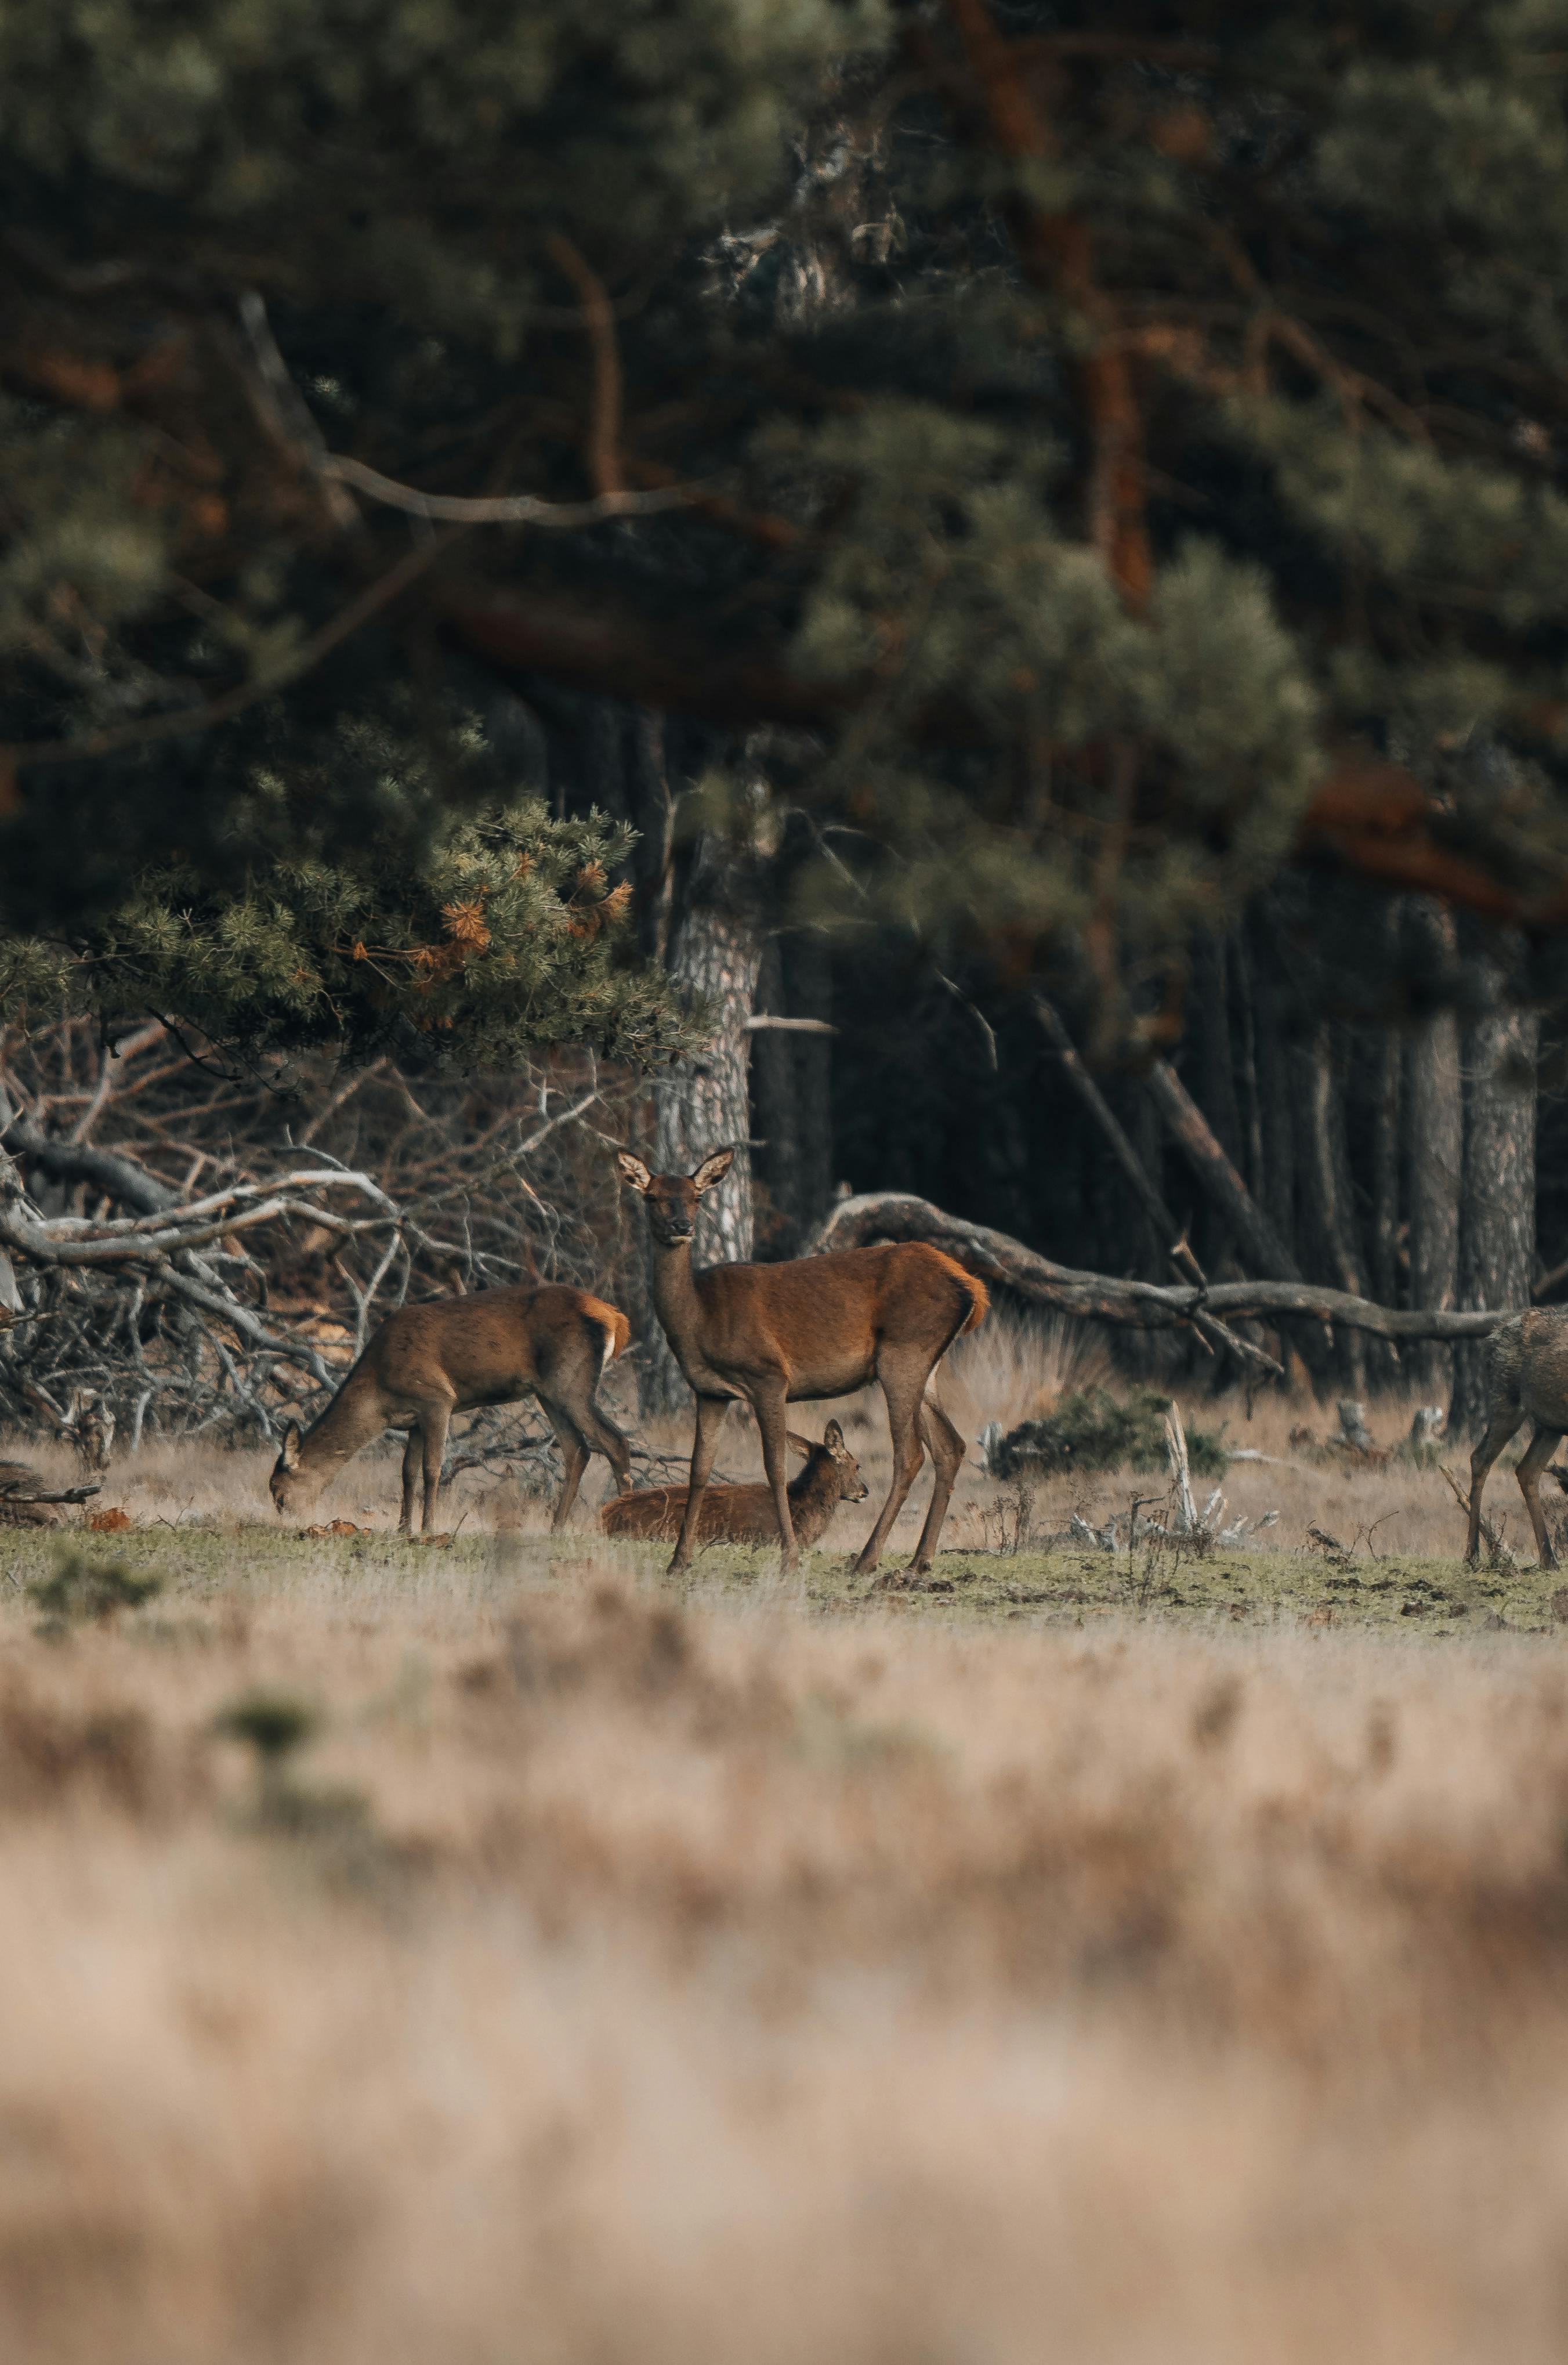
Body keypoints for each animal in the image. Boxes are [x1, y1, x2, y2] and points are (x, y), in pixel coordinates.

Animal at [270, 1283, 633, 1535]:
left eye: (279, 1493)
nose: (287, 1524)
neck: (379, 1394)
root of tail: (616, 1318)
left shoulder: (437, 1399)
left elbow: (432, 1468)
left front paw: (427, 1527)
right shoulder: (413, 1420)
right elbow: (407, 1472)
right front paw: (403, 1527)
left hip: (571, 1382)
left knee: (614, 1440)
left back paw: (625, 1524)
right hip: (549, 1392)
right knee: (578, 1449)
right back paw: (556, 1528)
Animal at [1465, 1306, 1568, 1568]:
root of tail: (1491, 1340)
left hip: (1550, 1424)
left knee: (1527, 1469)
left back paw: (1549, 1559)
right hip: (1507, 1401)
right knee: (1480, 1458)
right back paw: (1472, 1553)